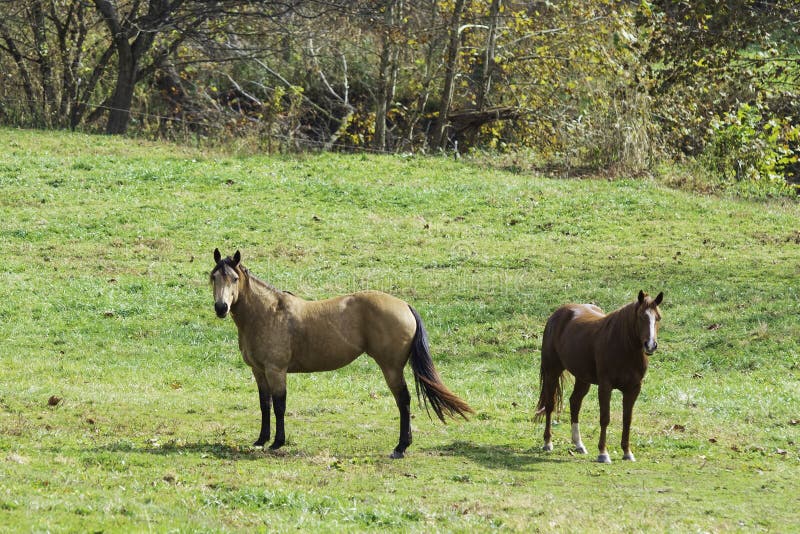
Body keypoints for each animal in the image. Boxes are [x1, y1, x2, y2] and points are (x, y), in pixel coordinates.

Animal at [210, 249, 474, 458]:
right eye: (213, 277)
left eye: (234, 278)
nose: (221, 308)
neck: (267, 313)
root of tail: (404, 305)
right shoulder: (259, 371)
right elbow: (265, 405)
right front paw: (261, 440)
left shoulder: (276, 370)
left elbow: (279, 406)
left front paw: (277, 442)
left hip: (391, 368)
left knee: (403, 401)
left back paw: (400, 447)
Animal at [535, 290, 663, 463]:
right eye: (641, 317)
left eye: (658, 318)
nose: (650, 345)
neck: (624, 347)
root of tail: (557, 314)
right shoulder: (605, 386)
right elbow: (605, 418)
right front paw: (603, 453)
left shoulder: (633, 389)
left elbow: (627, 420)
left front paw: (627, 452)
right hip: (552, 372)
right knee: (550, 405)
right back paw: (548, 442)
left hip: (582, 378)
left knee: (575, 403)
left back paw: (579, 444)